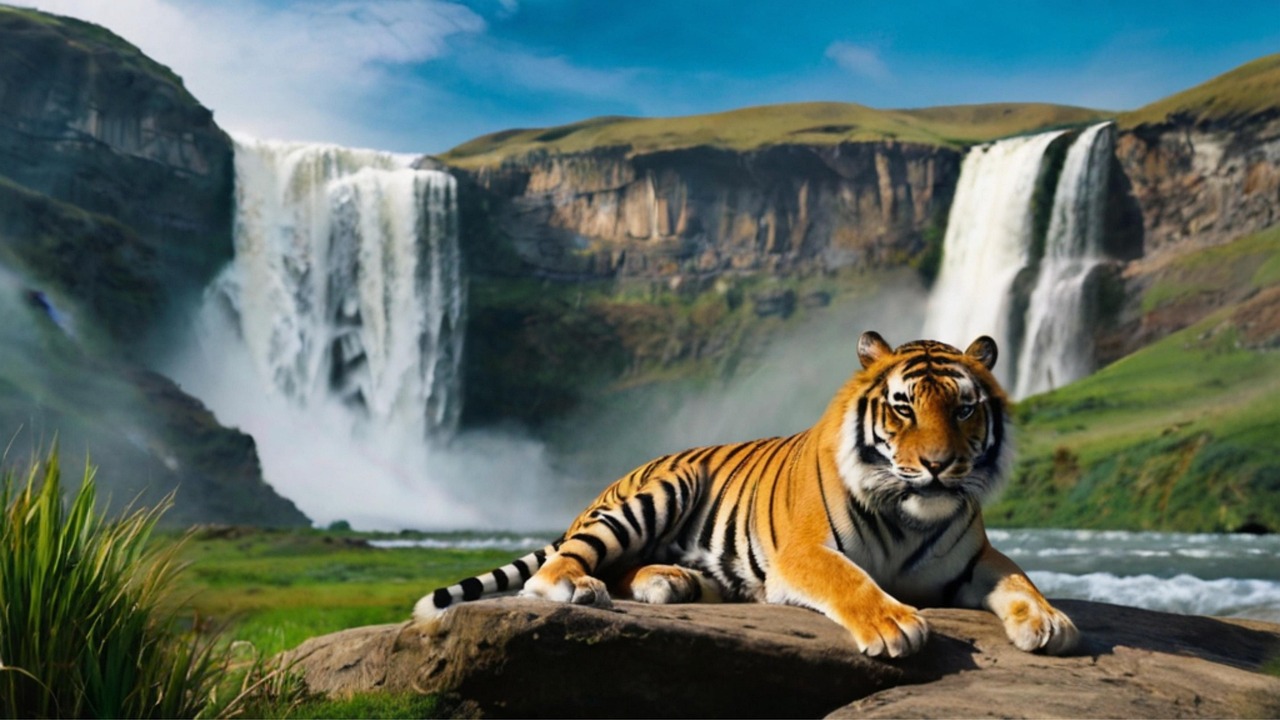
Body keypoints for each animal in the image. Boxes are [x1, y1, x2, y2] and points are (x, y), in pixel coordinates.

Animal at [414, 331, 1079, 658]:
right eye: (903, 407)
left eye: (964, 408)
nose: (940, 466)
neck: (912, 514)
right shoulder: (804, 553)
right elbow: (853, 581)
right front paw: (894, 623)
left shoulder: (976, 559)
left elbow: (1020, 579)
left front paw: (1050, 621)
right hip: (658, 493)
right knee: (554, 568)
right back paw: (582, 587)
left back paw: (671, 582)